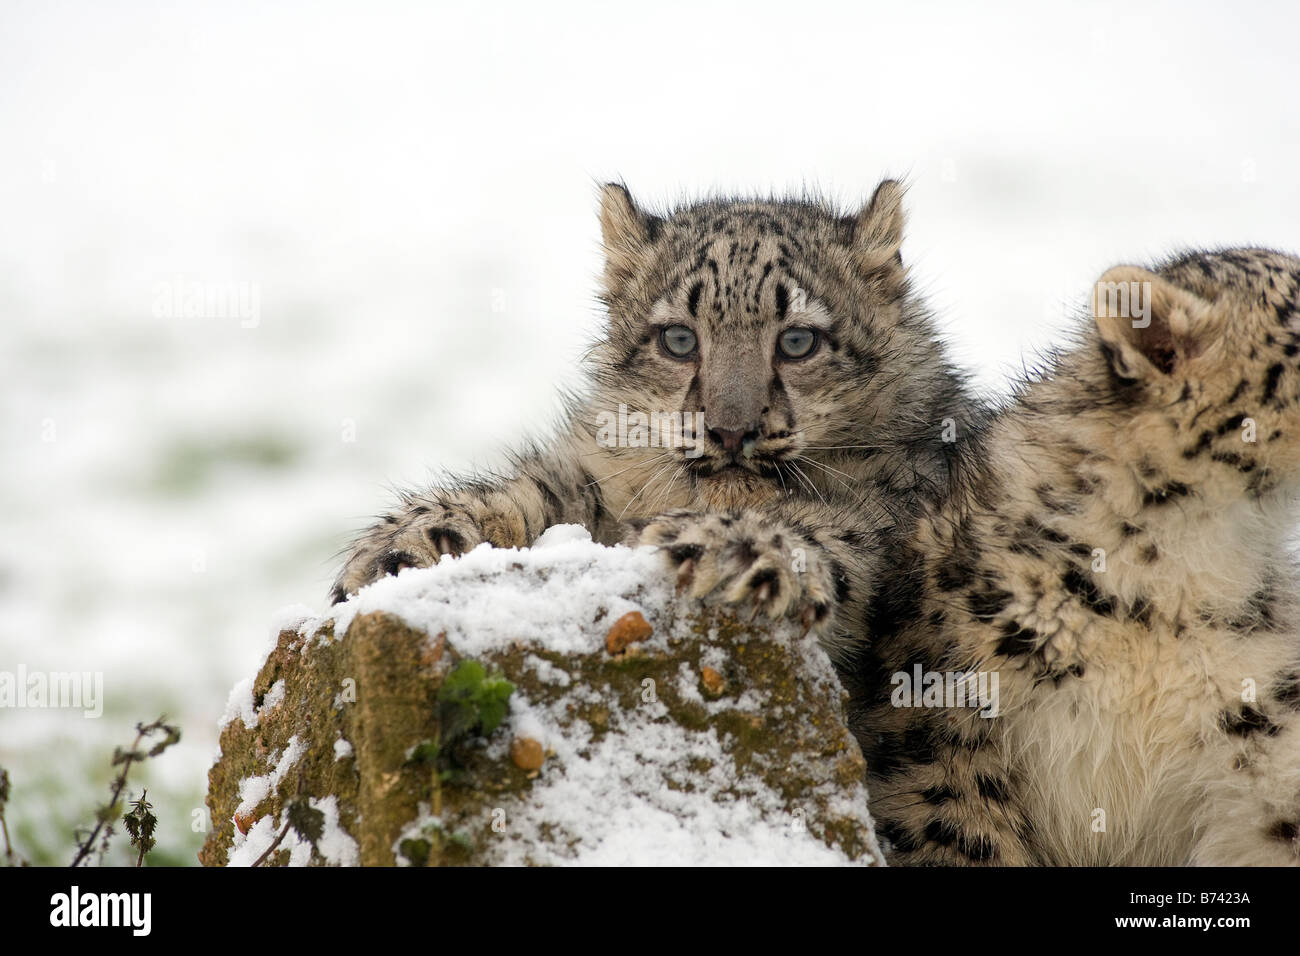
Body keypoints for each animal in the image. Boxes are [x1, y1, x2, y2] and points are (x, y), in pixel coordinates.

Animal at [330, 179, 977, 665]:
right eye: (678, 338)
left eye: (798, 340)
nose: (730, 429)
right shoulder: (595, 472)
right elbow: (550, 487)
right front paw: (408, 542)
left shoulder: (890, 507)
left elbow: (834, 534)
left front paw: (728, 551)